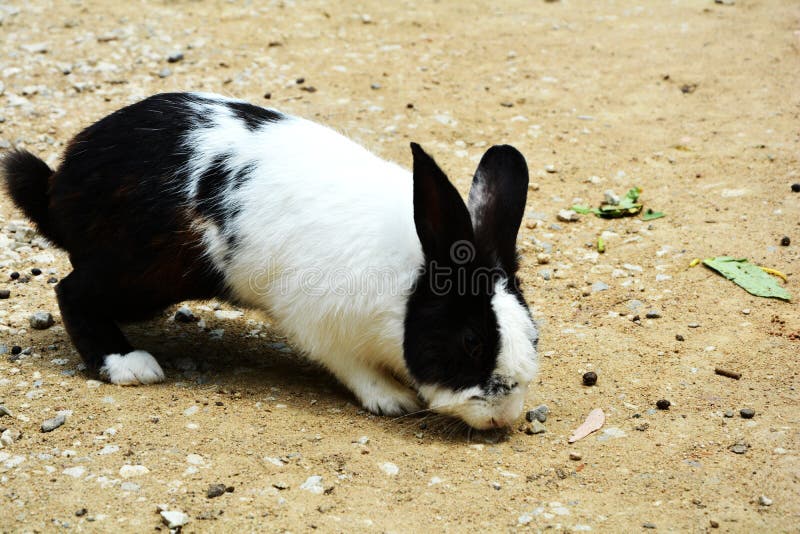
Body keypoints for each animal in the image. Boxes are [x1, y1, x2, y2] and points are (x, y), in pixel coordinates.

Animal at [1, 92, 538, 429]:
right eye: (471, 340)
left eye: (532, 333)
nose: (504, 416)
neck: (408, 282)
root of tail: (61, 188)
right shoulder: (320, 323)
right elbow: (351, 367)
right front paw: (393, 399)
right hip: (143, 273)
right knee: (71, 291)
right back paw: (129, 365)